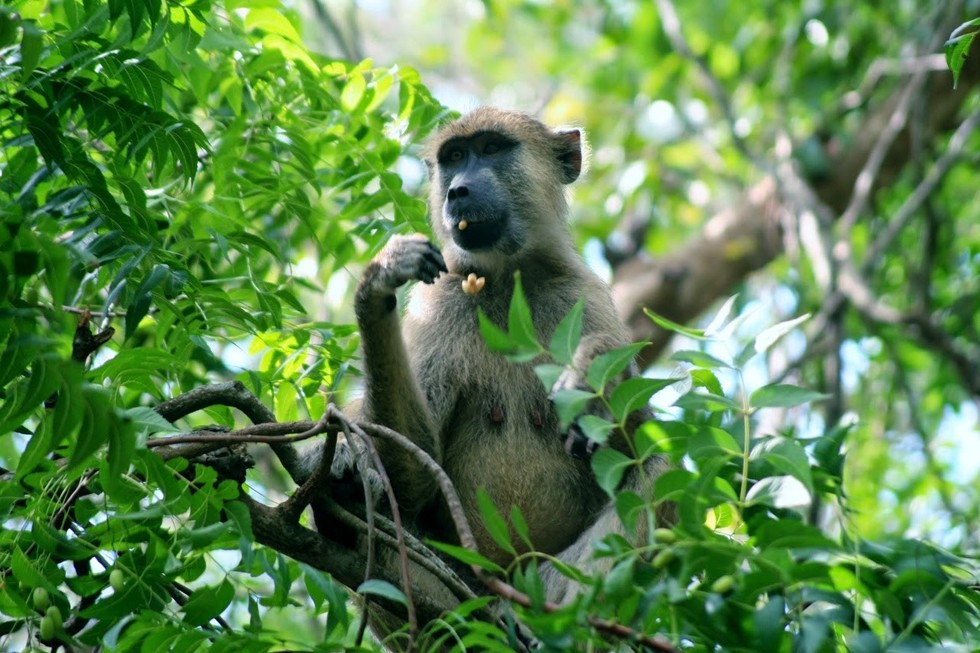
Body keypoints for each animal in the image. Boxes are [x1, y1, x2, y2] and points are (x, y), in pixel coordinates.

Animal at [331, 107, 672, 641]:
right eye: (454, 157)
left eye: (491, 149)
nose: (457, 191)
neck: (509, 279)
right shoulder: (441, 299)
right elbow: (411, 480)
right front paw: (378, 283)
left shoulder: (586, 296)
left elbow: (634, 443)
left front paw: (587, 375)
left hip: (546, 580)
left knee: (658, 468)